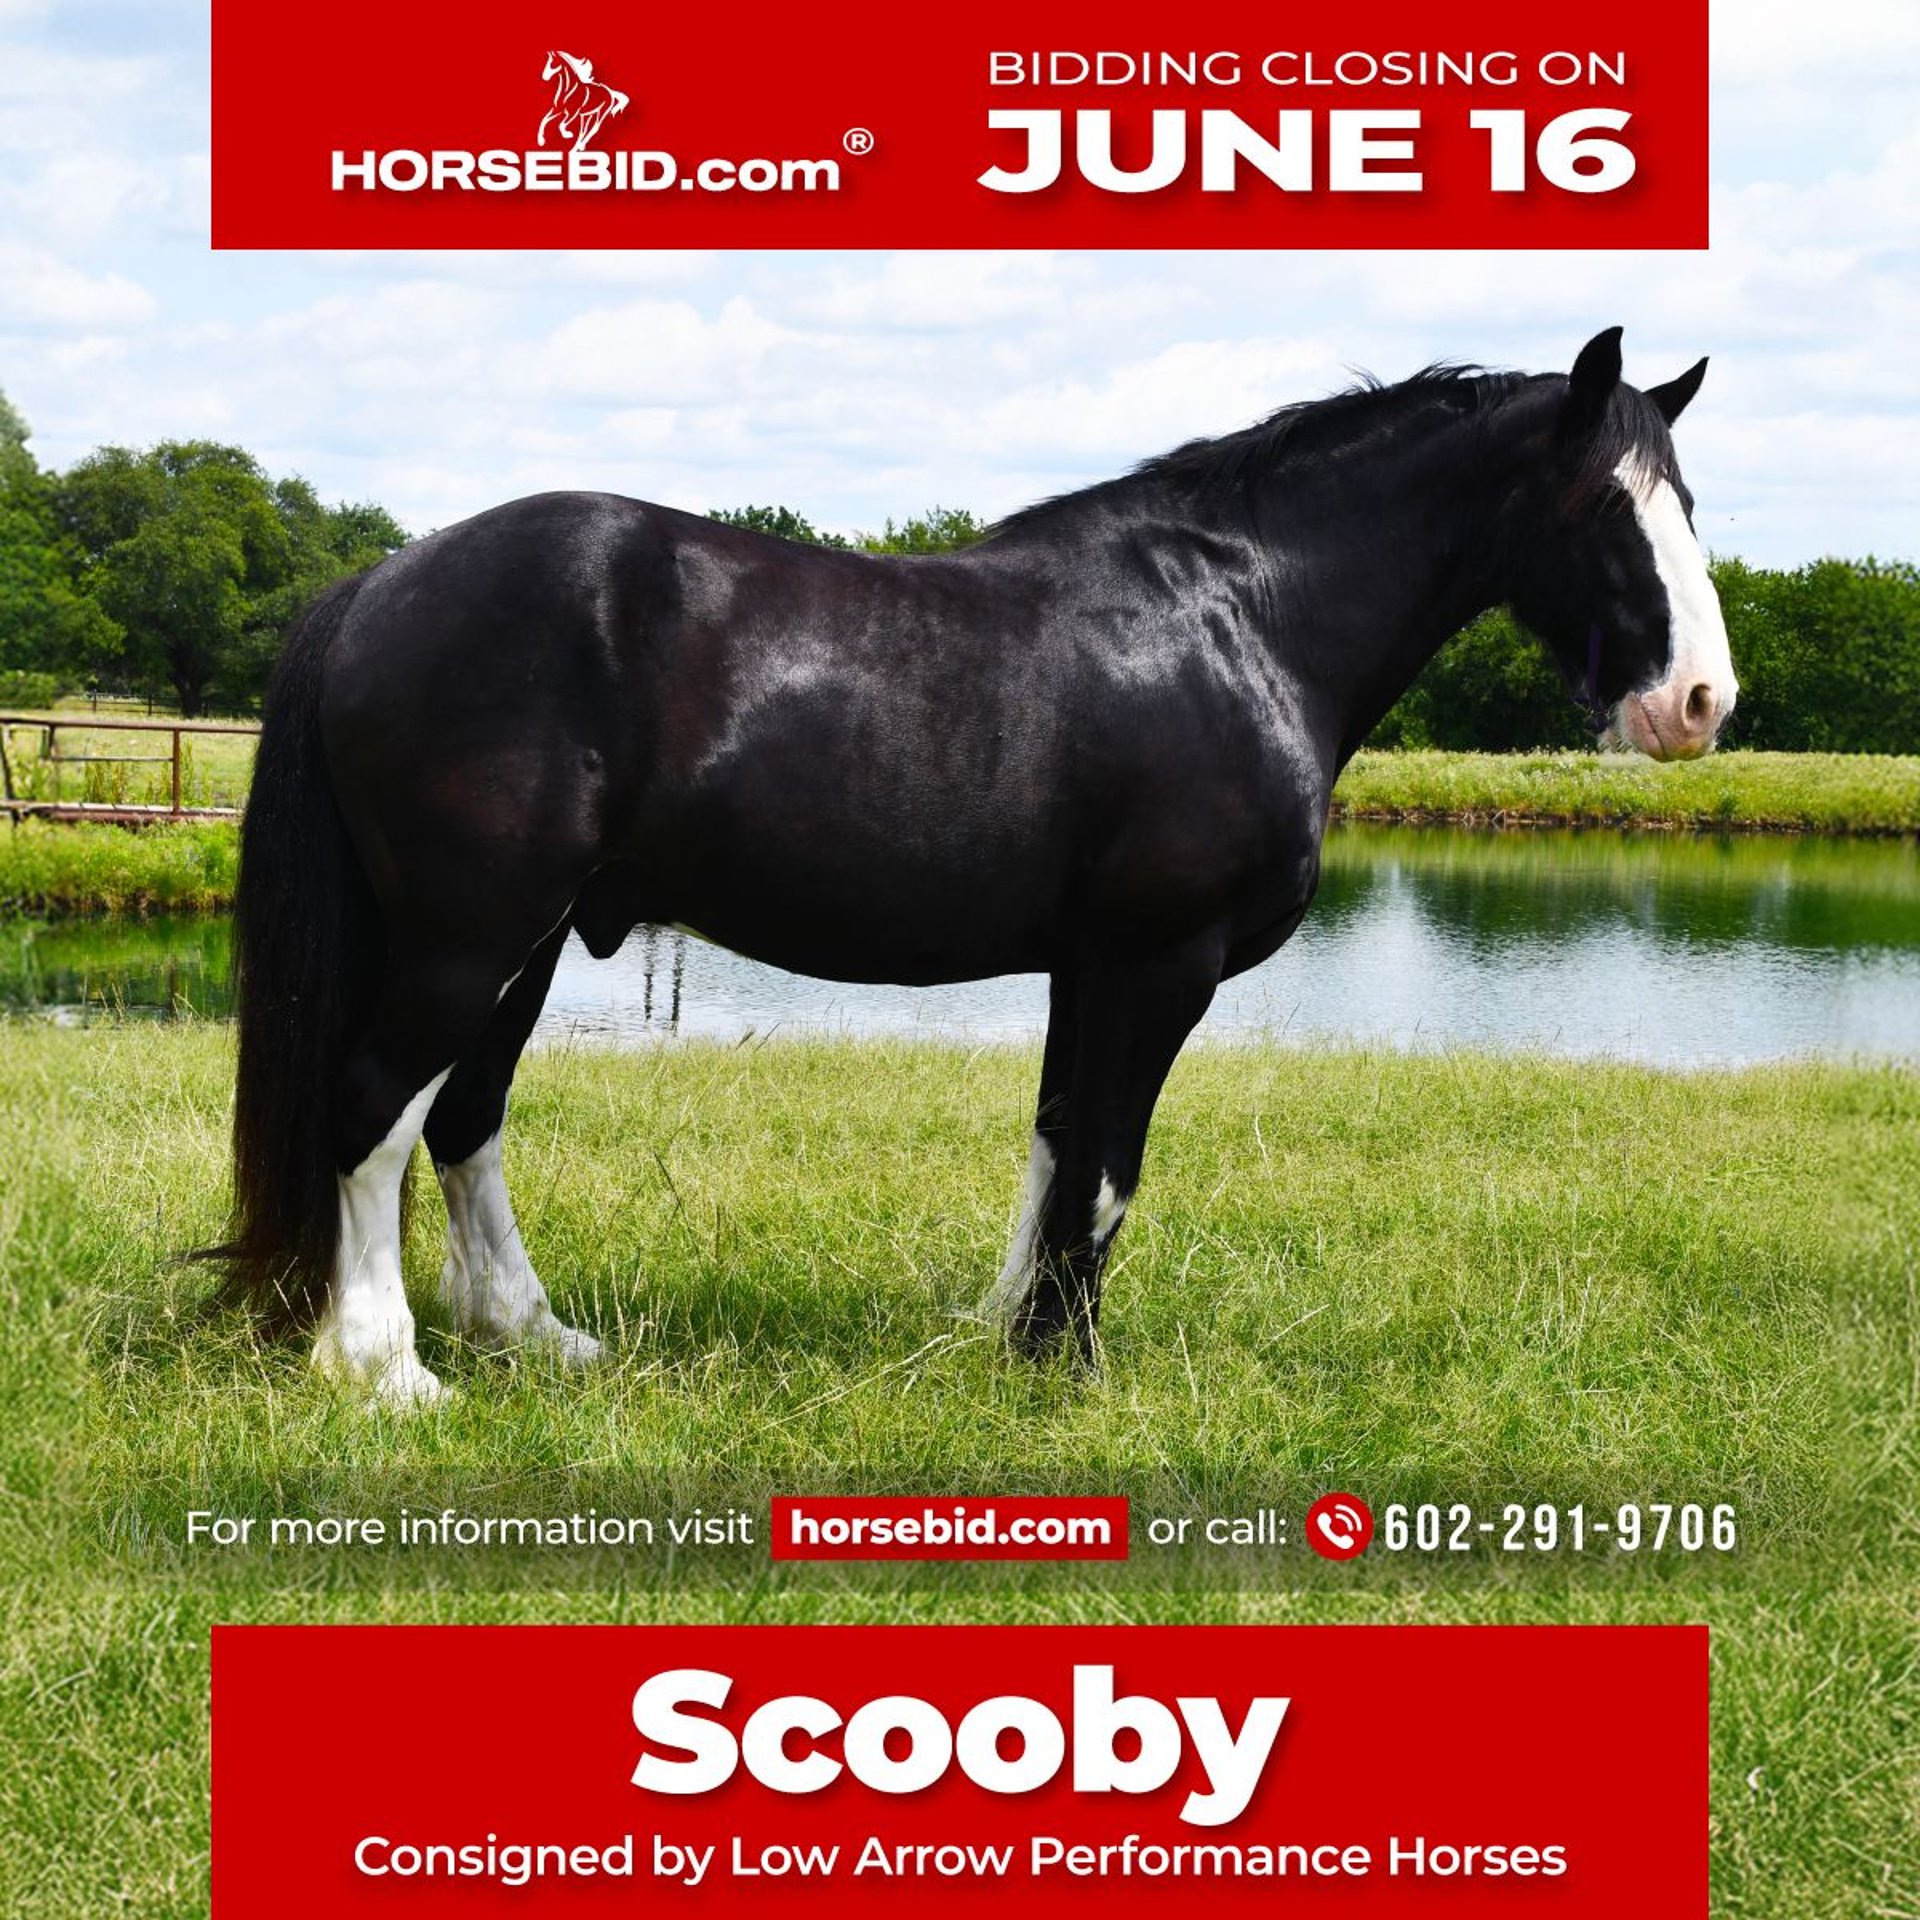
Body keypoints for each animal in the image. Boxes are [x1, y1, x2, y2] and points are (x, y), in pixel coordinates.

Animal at [211, 327, 1735, 1408]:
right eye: (1605, 503)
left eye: (1688, 499)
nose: (1703, 703)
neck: (1243, 619)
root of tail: (382, 583)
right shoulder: (1159, 964)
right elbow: (1108, 1167)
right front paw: (1070, 1365)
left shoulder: (1091, 966)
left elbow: (1059, 1140)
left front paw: (1006, 1335)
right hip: (466, 939)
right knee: (375, 1112)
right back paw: (386, 1371)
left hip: (523, 946)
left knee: (464, 1123)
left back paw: (533, 1338)